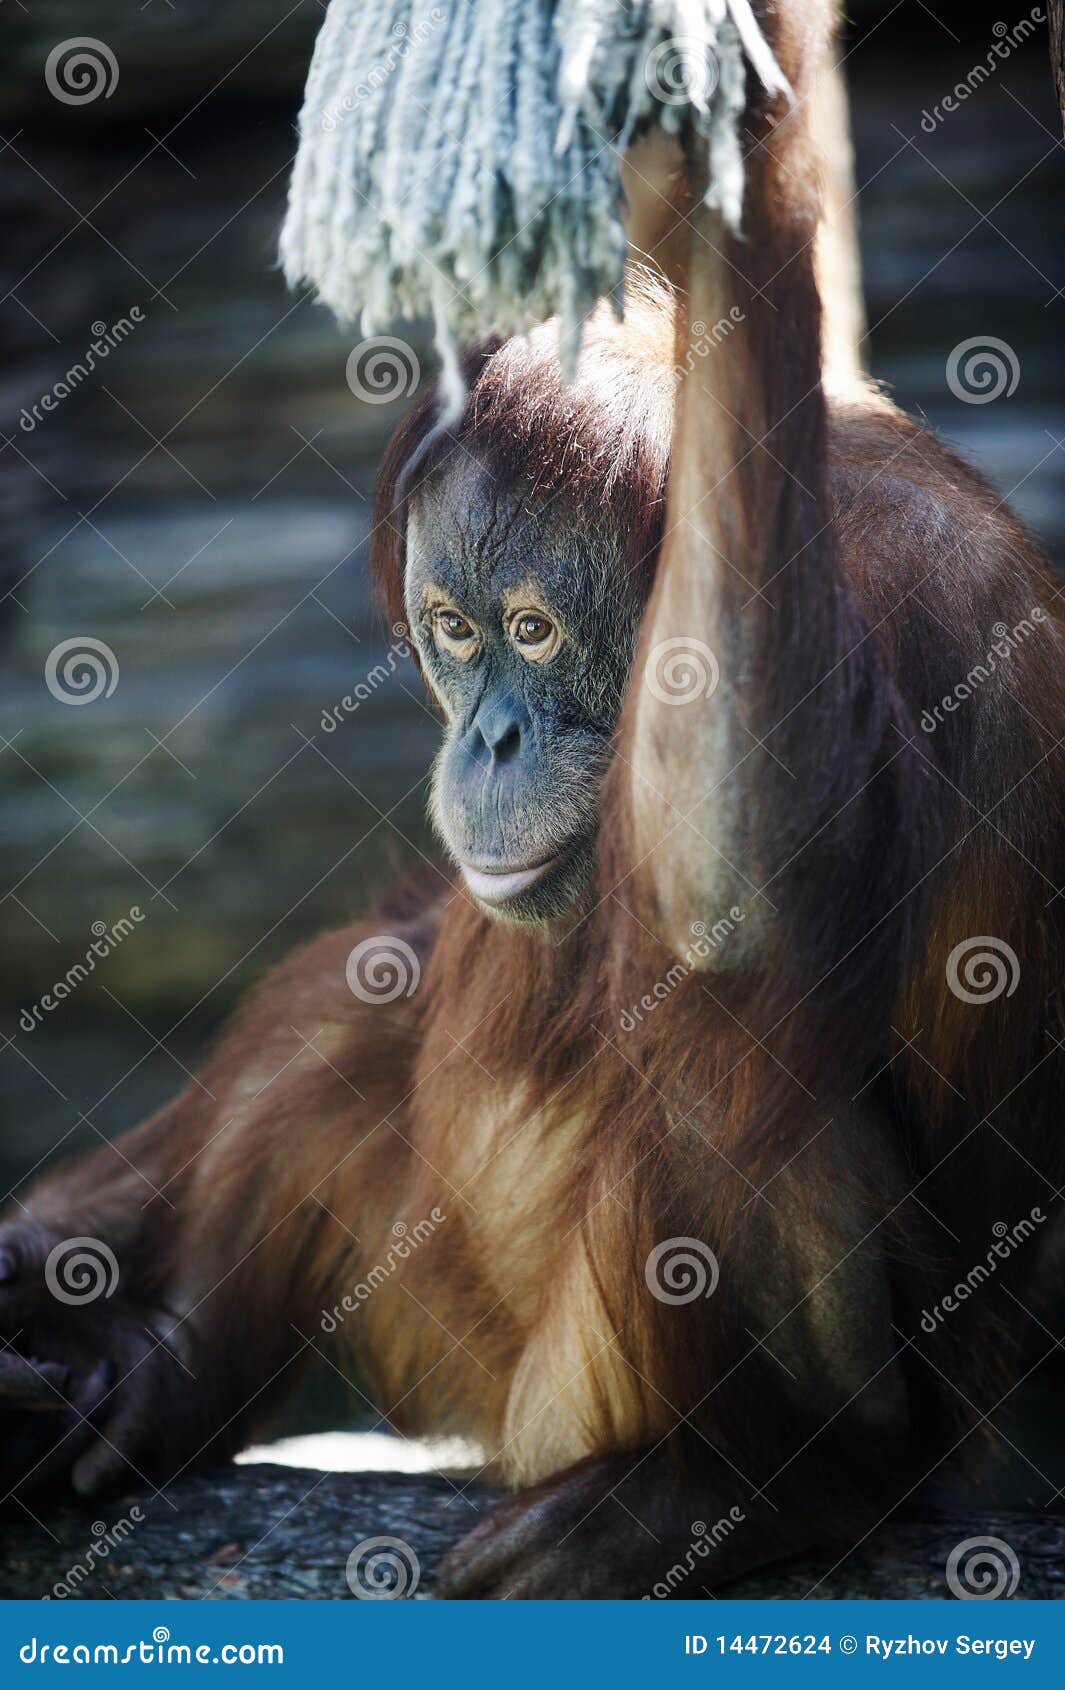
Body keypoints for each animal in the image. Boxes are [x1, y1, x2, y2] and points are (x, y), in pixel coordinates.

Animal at [2, 2, 1064, 1598]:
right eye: (454, 631)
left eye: (537, 631)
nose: (490, 739)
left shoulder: (903, 584)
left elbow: (736, 899)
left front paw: (735, 151)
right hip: (472, 1332)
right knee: (353, 1010)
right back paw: (133, 1359)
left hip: (625, 1394)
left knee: (719, 1042)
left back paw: (740, 1489)